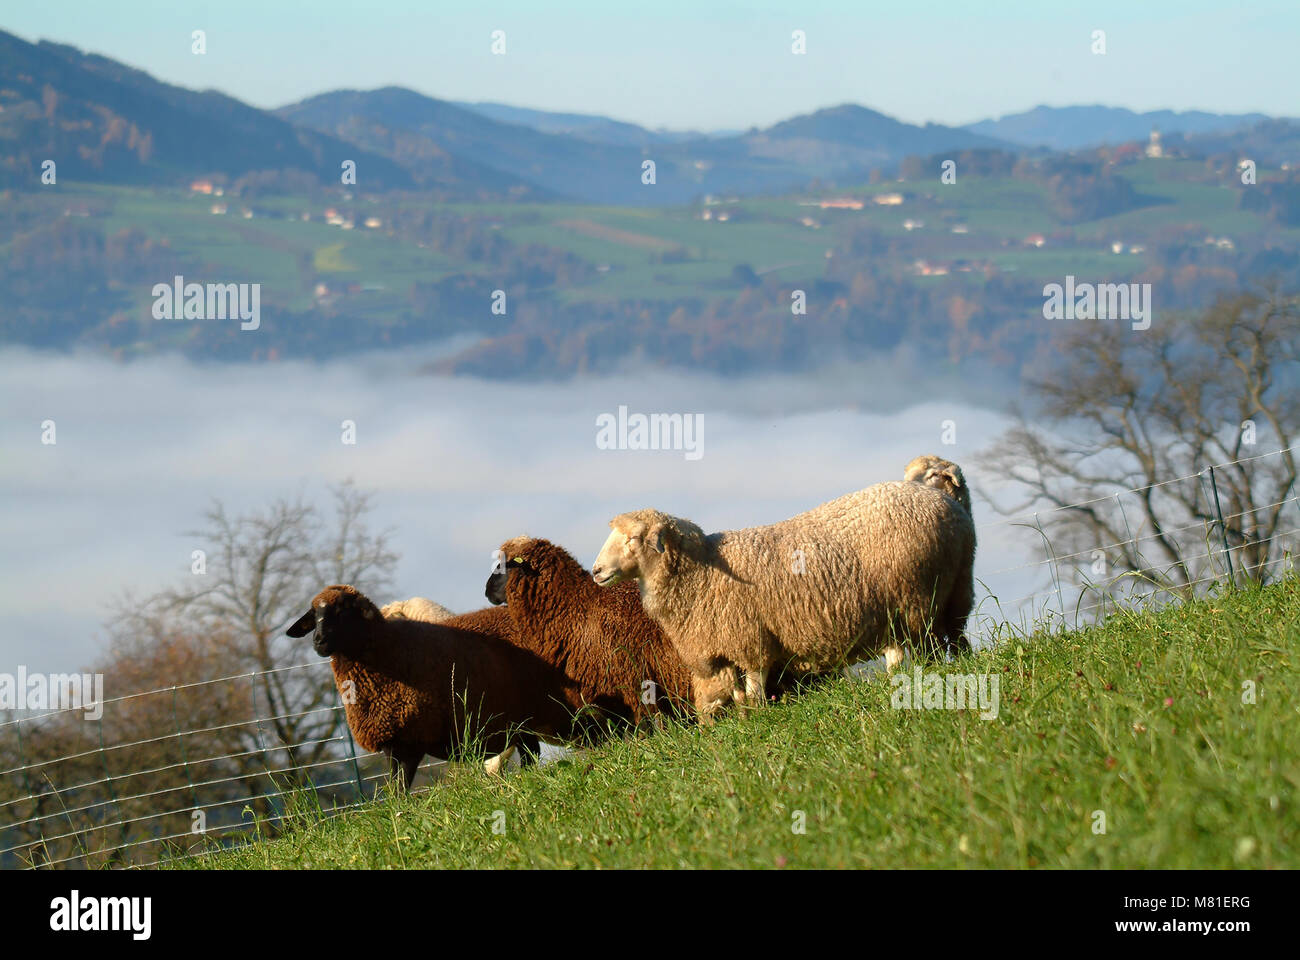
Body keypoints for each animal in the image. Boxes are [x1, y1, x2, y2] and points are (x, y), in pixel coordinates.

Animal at [286, 584, 582, 789]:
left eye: (342, 610)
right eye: (314, 614)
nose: (318, 640)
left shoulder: (411, 740)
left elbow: (401, 790)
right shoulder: (394, 742)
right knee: (530, 755)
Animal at [590, 481, 976, 720]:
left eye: (633, 539)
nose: (596, 571)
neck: (702, 573)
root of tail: (948, 505)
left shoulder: (750, 639)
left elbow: (754, 685)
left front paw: (759, 716)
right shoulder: (722, 649)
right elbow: (736, 694)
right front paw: (743, 721)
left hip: (917, 596)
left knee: (926, 644)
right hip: (949, 589)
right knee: (947, 638)